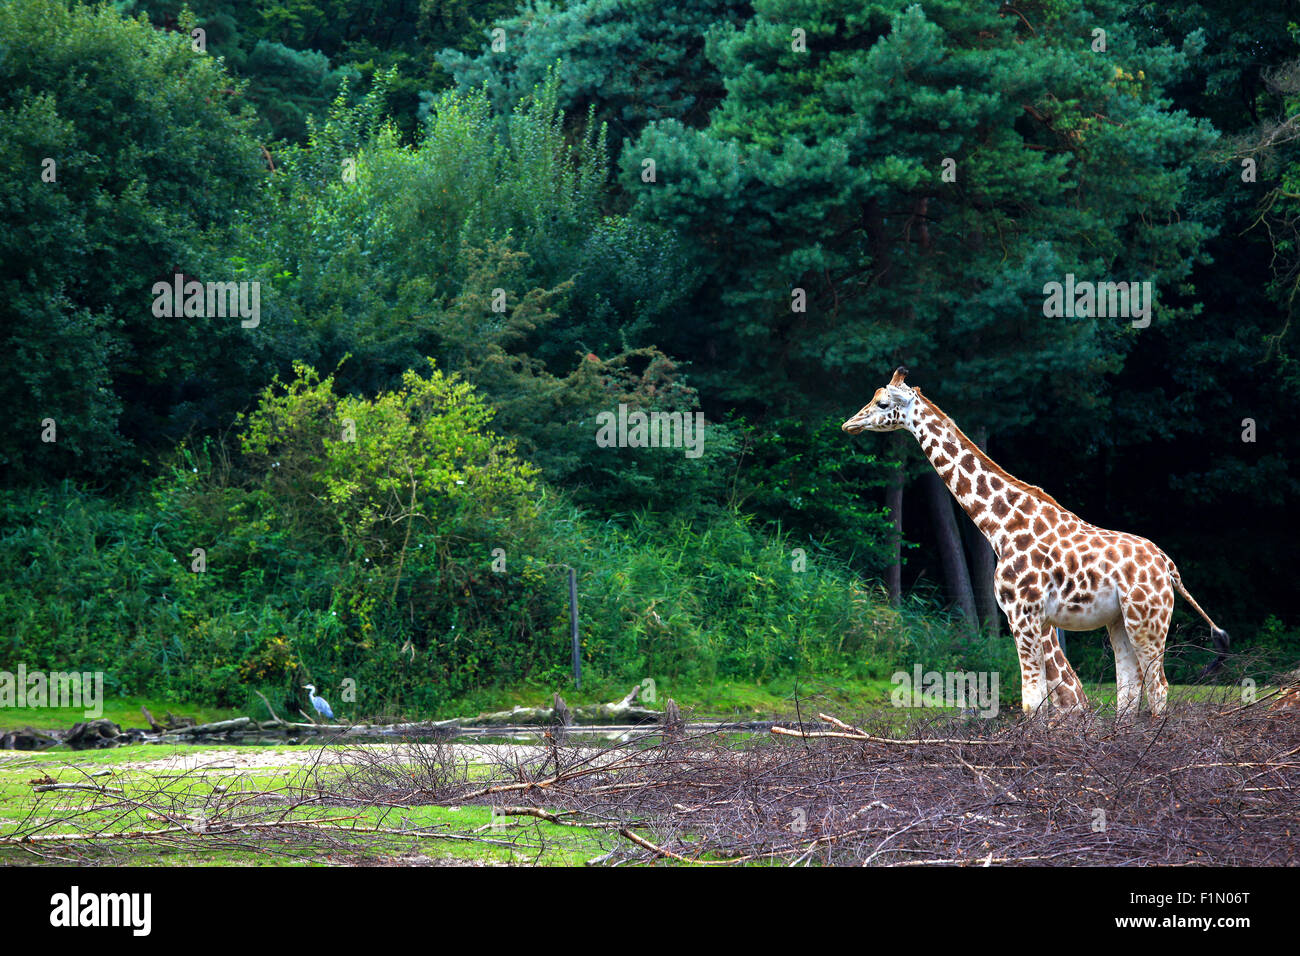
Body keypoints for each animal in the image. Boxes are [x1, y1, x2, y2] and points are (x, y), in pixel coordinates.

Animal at [842, 367, 1229, 718]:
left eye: (882, 403)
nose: (849, 424)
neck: (999, 526)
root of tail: (1168, 566)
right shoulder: (1039, 620)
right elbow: (1044, 699)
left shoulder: (1021, 613)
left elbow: (1031, 701)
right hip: (1119, 621)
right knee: (1129, 689)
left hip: (1146, 619)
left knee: (1159, 688)